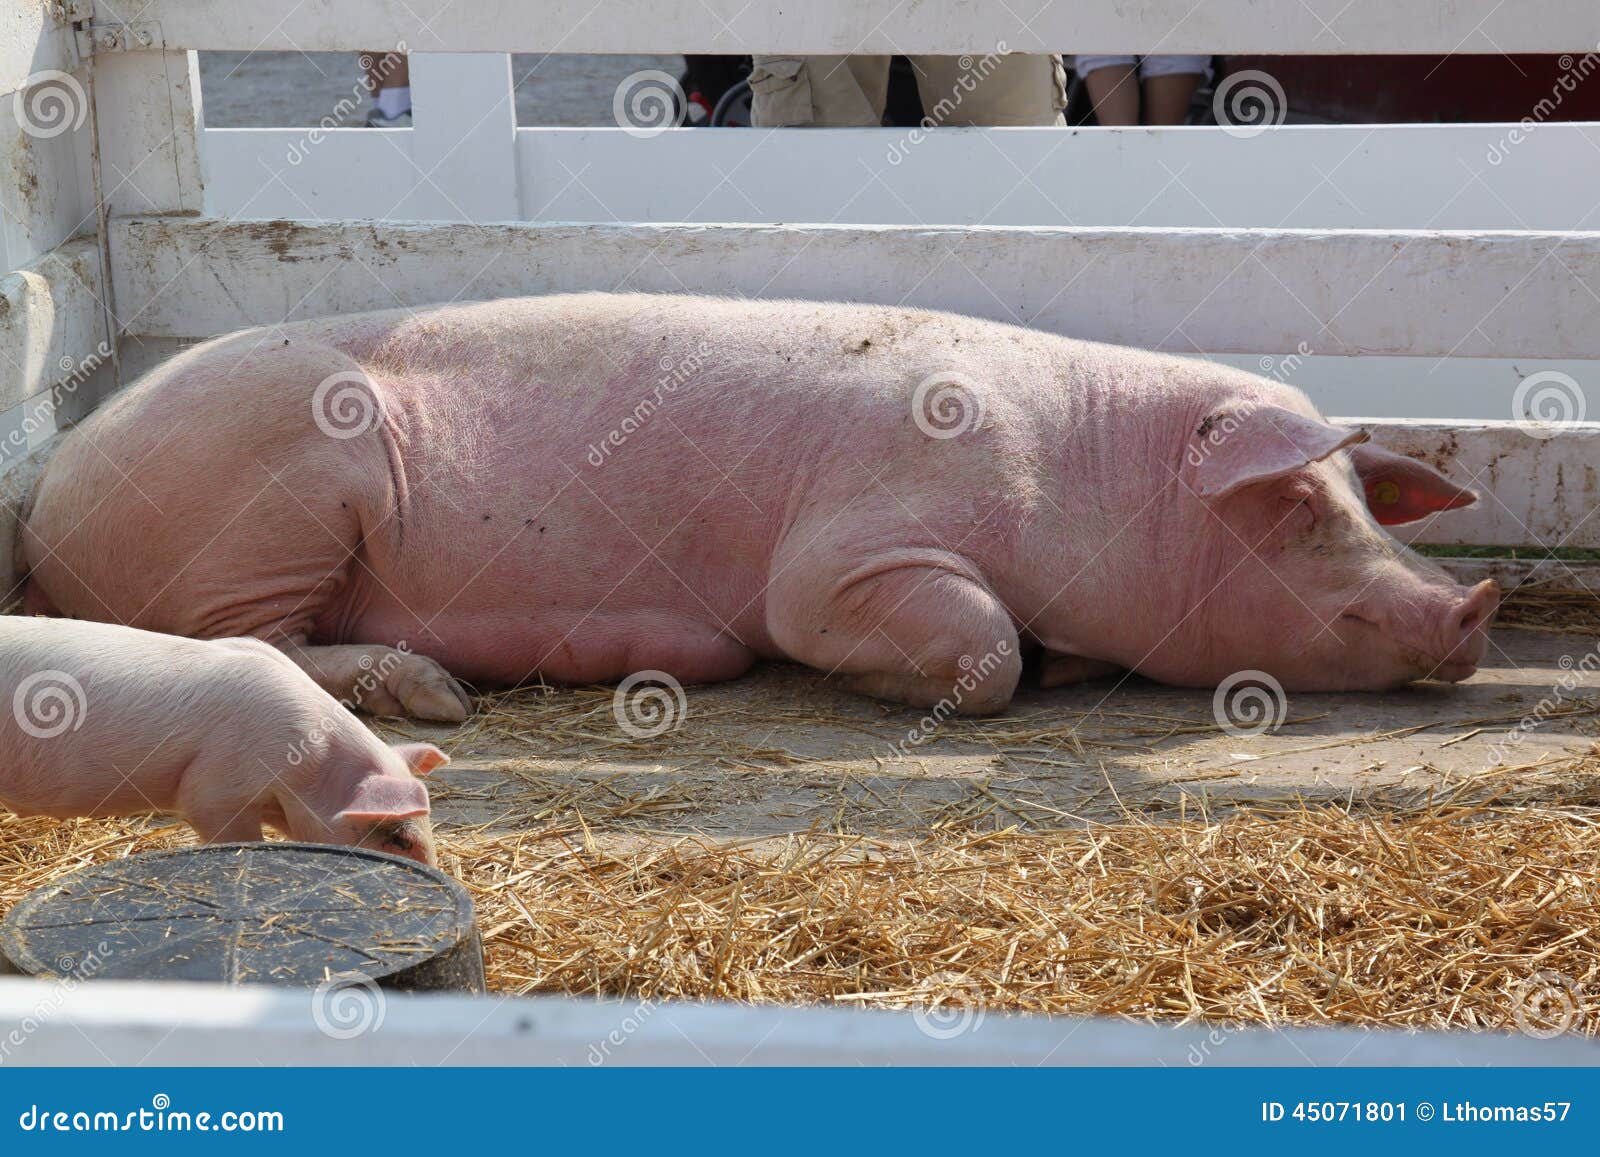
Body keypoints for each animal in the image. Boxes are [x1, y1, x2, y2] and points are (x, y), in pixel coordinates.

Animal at [16, 293, 1497, 718]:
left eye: (1365, 499)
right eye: (1298, 508)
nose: (1470, 610)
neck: (1079, 467)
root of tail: (51, 490)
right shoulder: (846, 554)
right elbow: (981, 653)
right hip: (285, 493)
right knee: (239, 644)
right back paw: (437, 699)